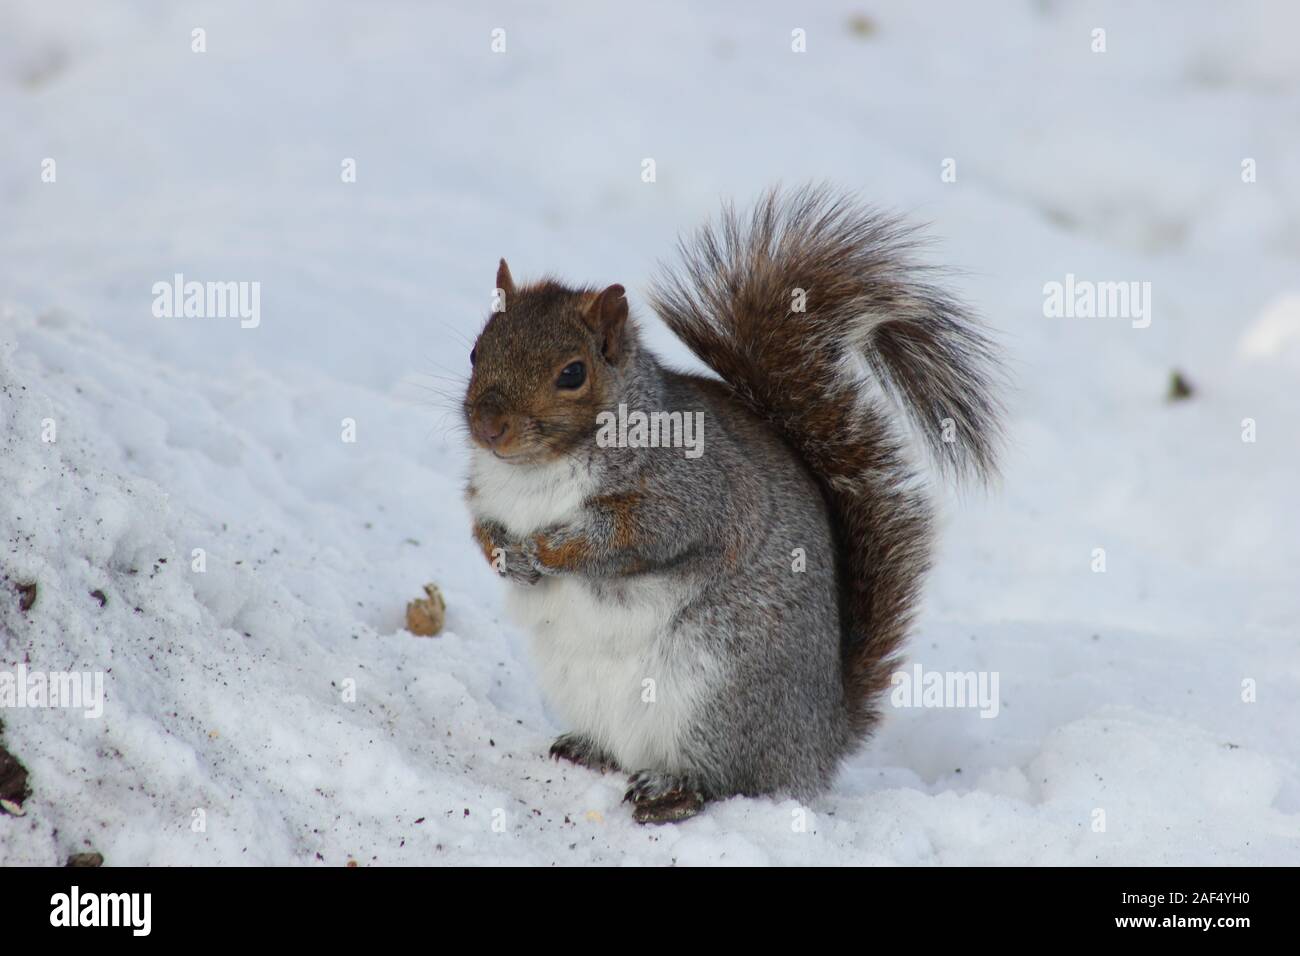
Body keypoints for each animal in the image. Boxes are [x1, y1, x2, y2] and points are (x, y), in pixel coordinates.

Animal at [462, 186, 1002, 824]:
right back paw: (588, 749)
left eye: (573, 373)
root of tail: (820, 742)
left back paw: (673, 790)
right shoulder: (483, 492)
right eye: (475, 352)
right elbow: (483, 527)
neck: (535, 473)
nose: (489, 426)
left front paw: (548, 550)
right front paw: (505, 555)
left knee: (731, 779)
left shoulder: (693, 492)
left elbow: (633, 536)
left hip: (716, 692)